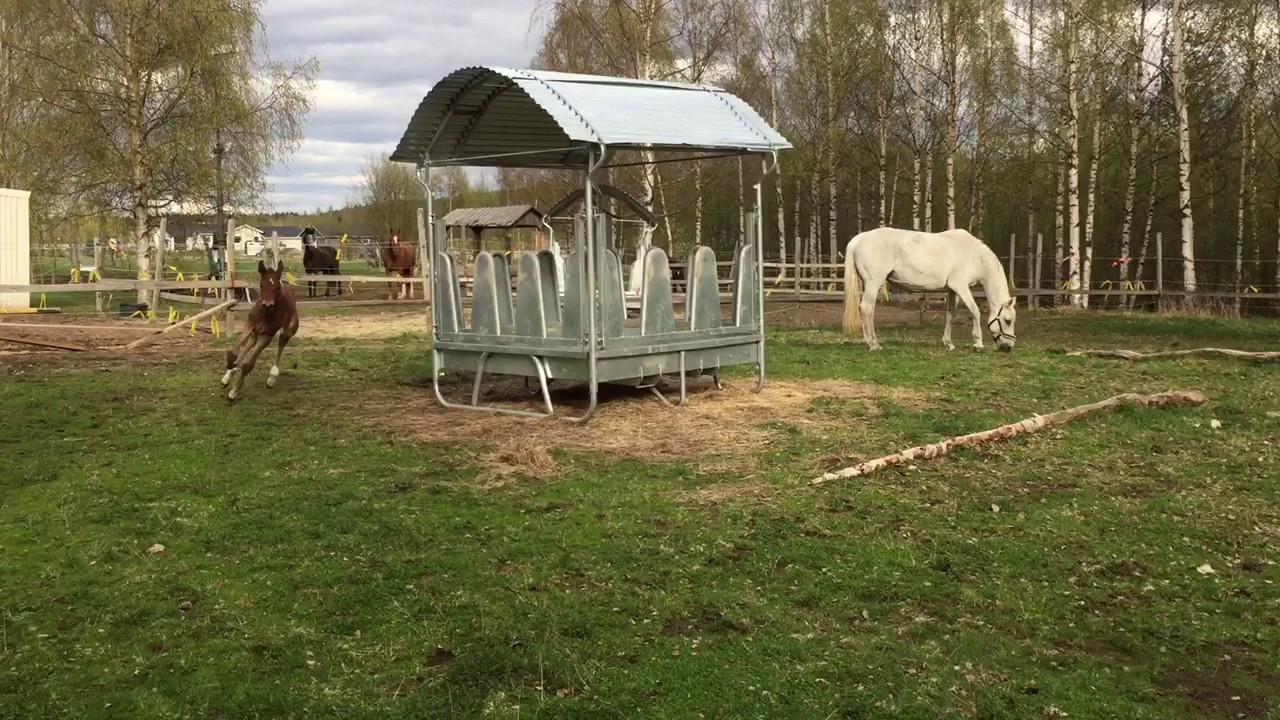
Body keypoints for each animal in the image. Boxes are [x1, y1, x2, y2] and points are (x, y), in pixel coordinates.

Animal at [220, 260, 300, 401]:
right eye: (261, 286)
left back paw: (272, 378)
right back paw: (229, 374)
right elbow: (234, 352)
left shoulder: (267, 335)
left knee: (282, 340)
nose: (268, 305)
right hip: (255, 331)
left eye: (277, 288)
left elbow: (248, 364)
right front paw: (230, 368)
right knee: (251, 342)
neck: (266, 314)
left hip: (290, 328)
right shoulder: (250, 325)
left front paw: (234, 392)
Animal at [841, 227, 1017, 352]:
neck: (975, 256)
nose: (1008, 347)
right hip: (873, 283)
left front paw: (949, 344)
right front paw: (978, 343)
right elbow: (975, 311)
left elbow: (950, 314)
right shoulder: (961, 286)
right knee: (866, 308)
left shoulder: (952, 290)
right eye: (1007, 320)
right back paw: (873, 344)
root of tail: (857, 239)